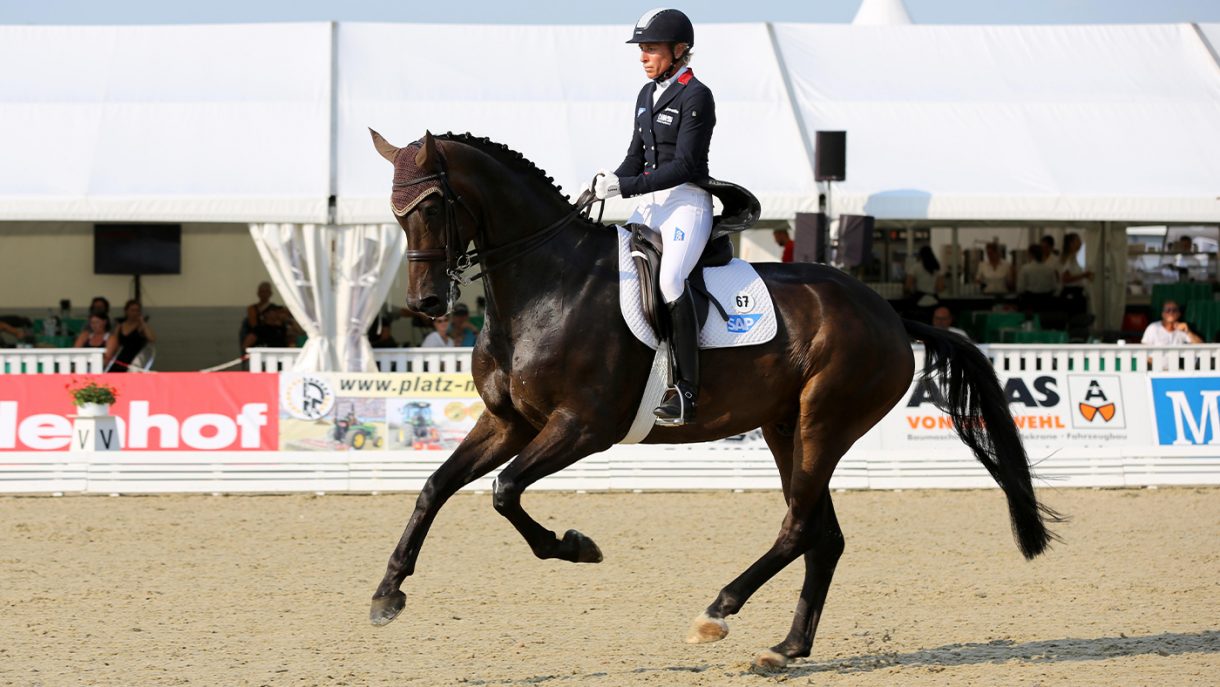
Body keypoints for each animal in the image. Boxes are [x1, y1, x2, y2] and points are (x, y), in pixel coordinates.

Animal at [366, 129, 1058, 671]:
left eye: (434, 204)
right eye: (396, 214)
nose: (426, 303)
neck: (545, 286)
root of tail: (890, 314)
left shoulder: (582, 426)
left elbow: (505, 491)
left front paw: (576, 546)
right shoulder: (508, 422)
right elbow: (436, 486)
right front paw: (387, 593)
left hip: (823, 424)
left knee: (799, 527)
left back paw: (718, 612)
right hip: (786, 429)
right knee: (823, 536)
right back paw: (784, 648)